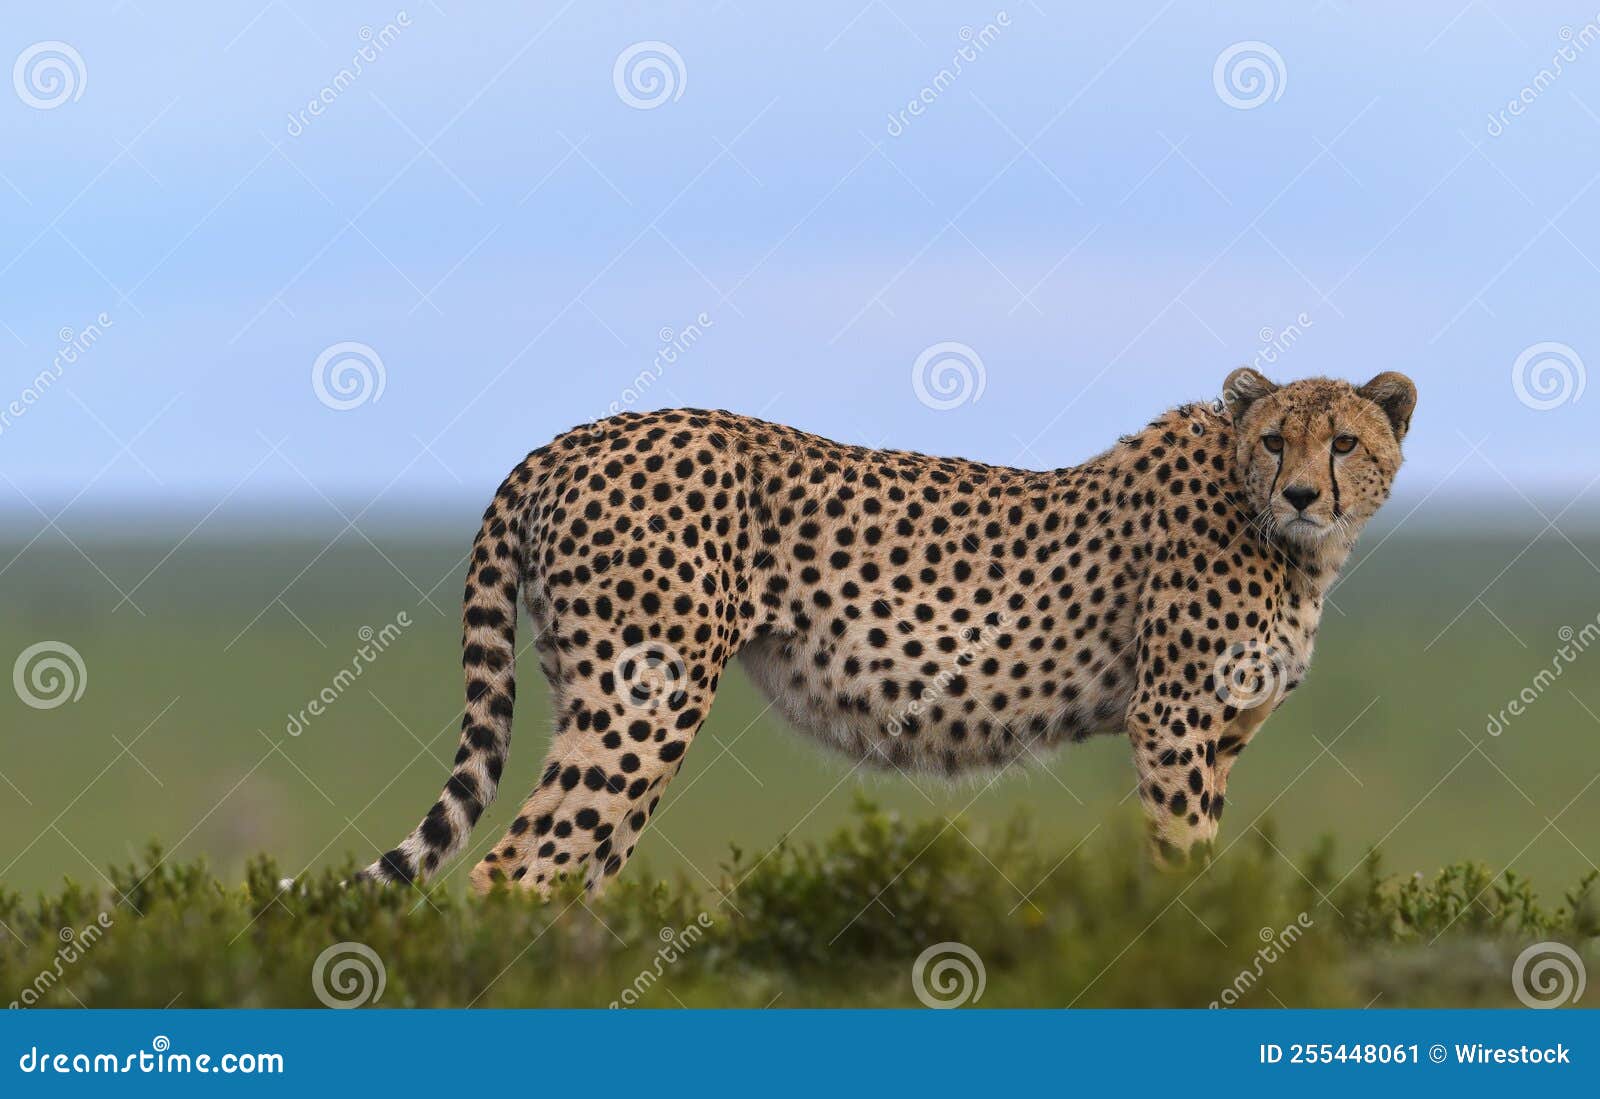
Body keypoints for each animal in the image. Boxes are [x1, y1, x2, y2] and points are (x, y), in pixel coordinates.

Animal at [355, 367, 1416, 892]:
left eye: (1344, 441)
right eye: (1275, 438)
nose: (1304, 493)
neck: (1288, 540)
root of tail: (571, 437)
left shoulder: (1218, 737)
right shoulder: (1174, 723)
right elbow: (1184, 859)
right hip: (640, 704)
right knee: (512, 869)